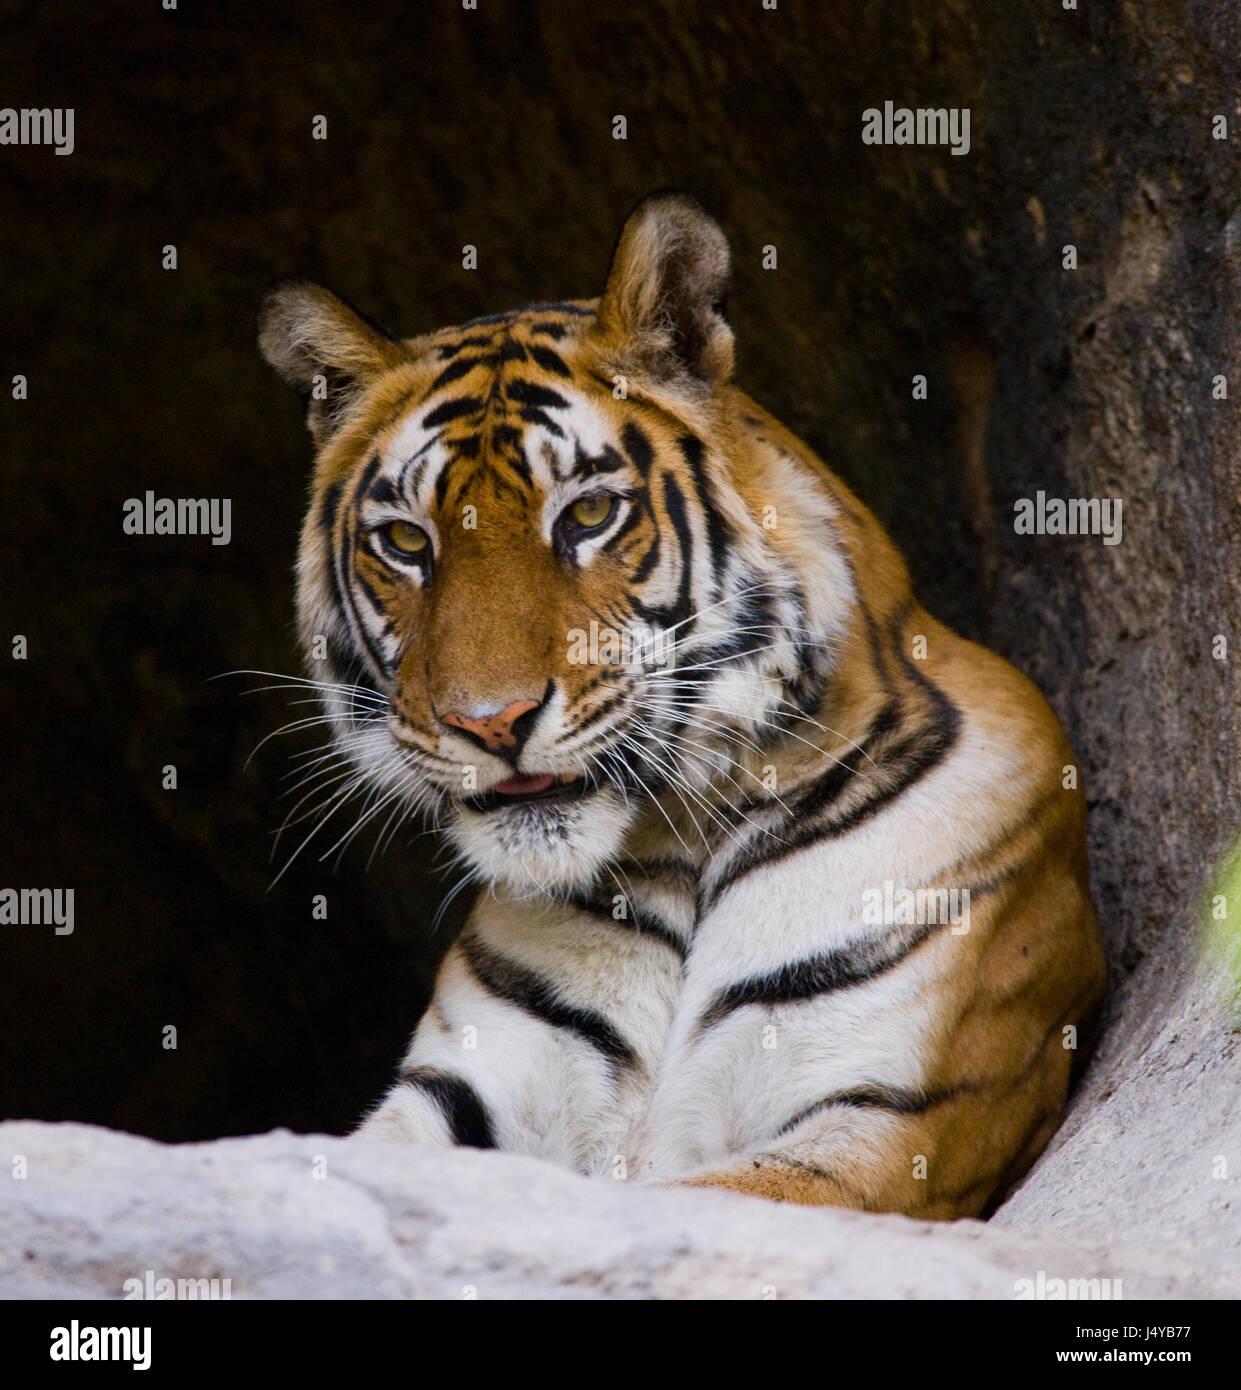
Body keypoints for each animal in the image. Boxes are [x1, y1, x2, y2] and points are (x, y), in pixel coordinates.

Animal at [258, 191, 1106, 1219]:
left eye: (588, 515)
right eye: (406, 541)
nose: (490, 722)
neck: (683, 843)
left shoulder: (890, 1123)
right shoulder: (454, 1095)